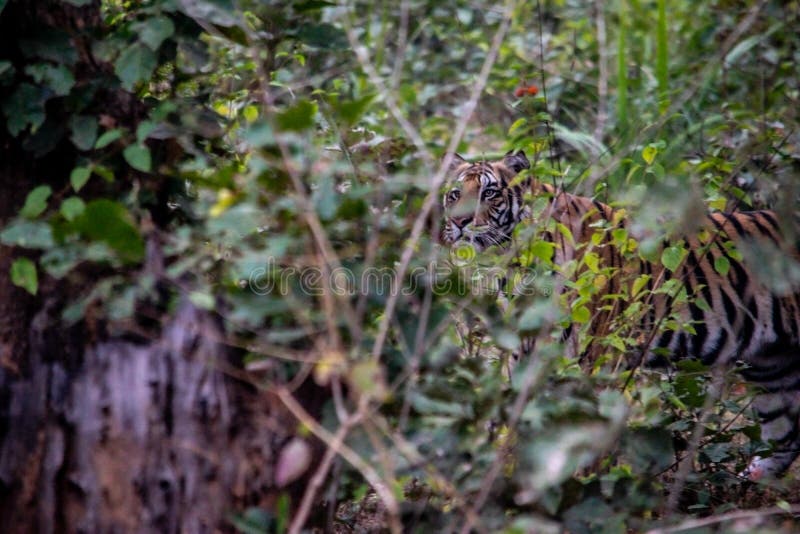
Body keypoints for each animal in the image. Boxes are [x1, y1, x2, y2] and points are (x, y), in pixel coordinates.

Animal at [440, 150, 800, 481]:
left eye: (490, 193)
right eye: (455, 194)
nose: (459, 222)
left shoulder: (595, 356)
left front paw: (582, 484)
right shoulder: (523, 350)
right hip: (772, 366)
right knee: (785, 435)